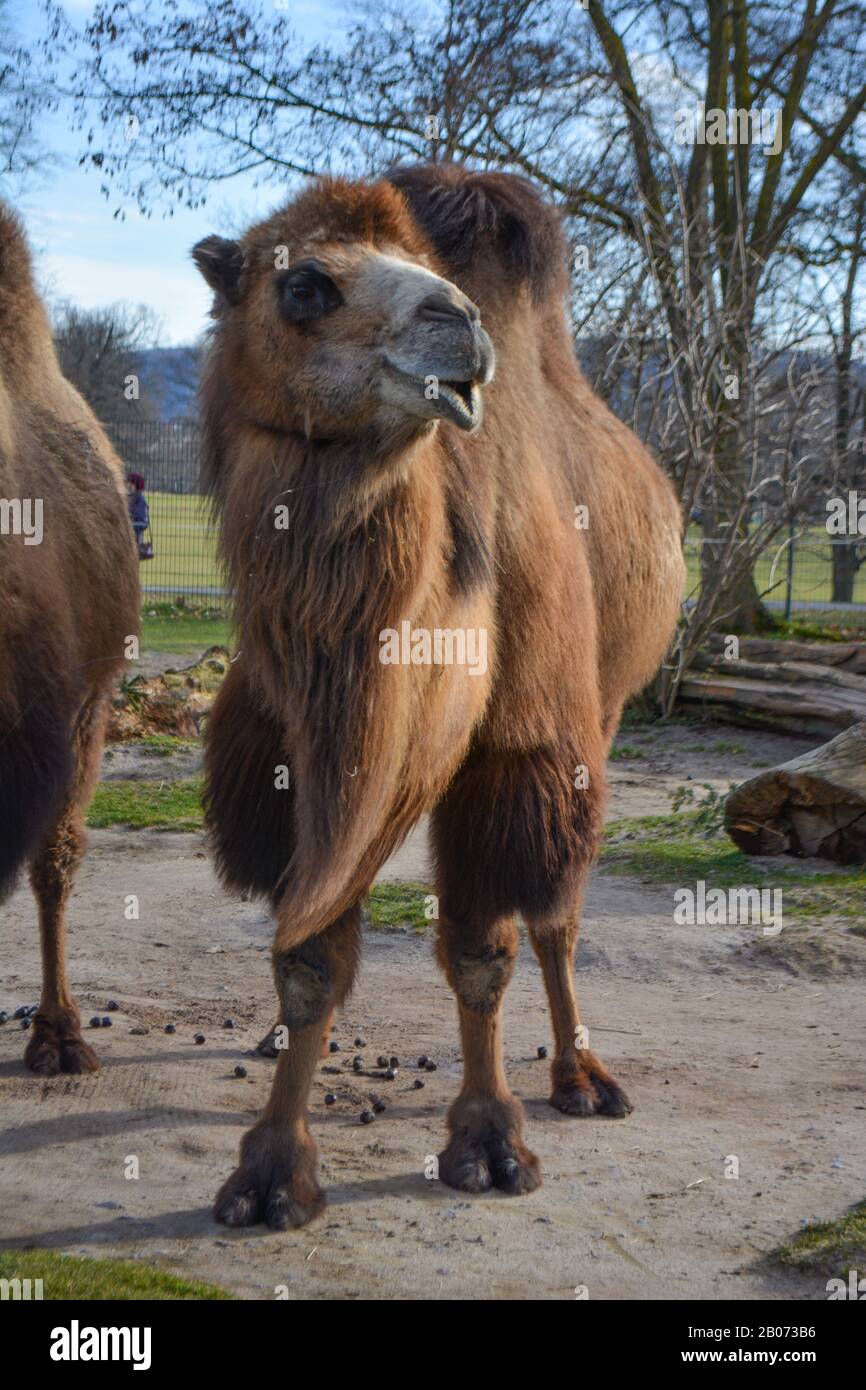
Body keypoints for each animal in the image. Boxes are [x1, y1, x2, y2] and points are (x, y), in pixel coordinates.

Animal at [194, 164, 683, 1229]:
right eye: (304, 284)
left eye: (424, 268)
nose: (459, 322)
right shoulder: (294, 755)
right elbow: (309, 958)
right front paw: (270, 1171)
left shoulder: (519, 747)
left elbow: (480, 951)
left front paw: (491, 1143)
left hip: (608, 711)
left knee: (558, 914)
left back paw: (583, 1077)